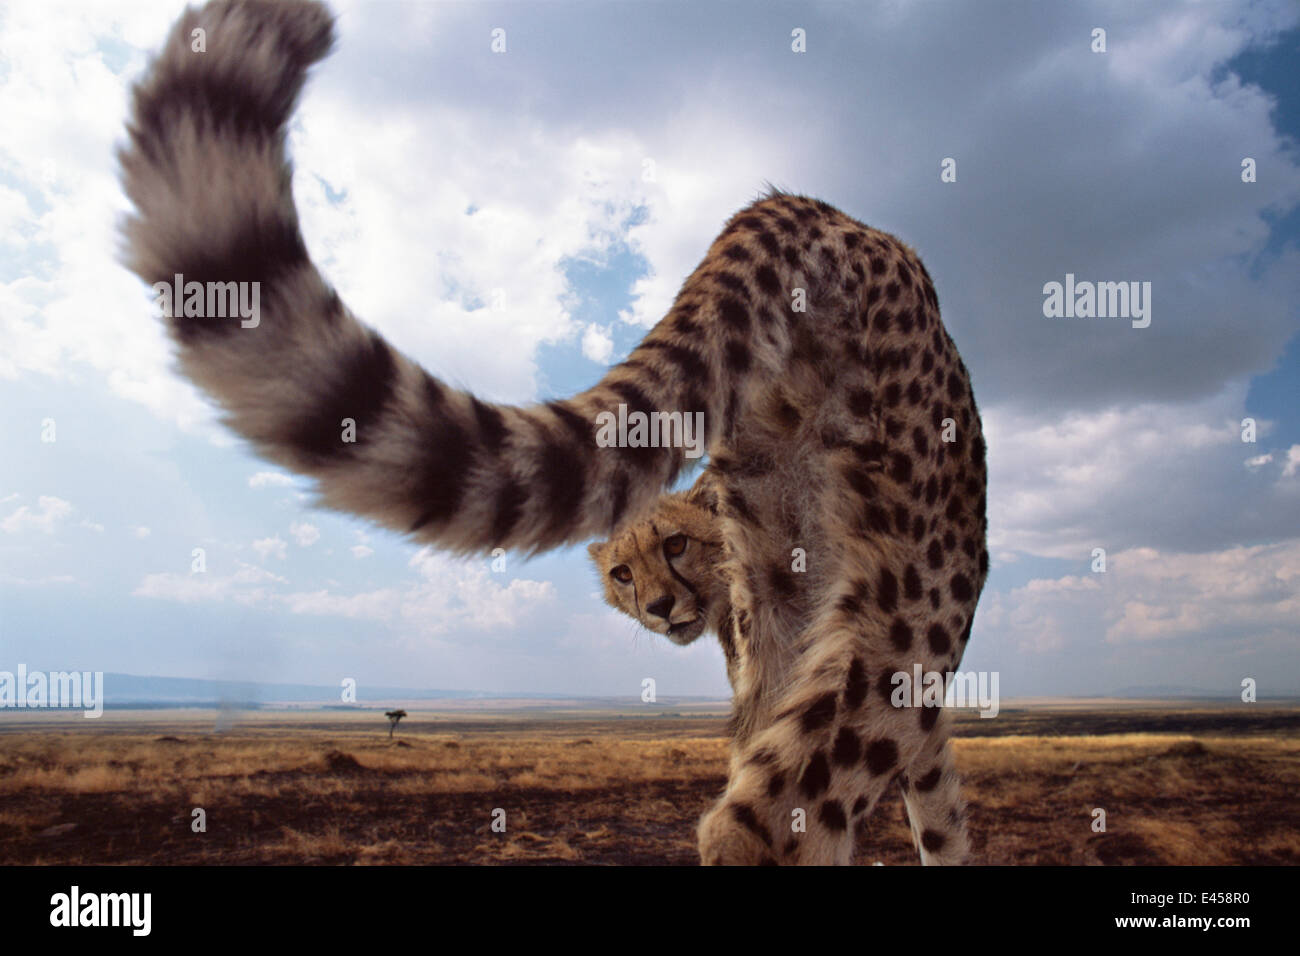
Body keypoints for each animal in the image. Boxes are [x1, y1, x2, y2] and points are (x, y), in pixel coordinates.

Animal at [120, 0, 988, 865]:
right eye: (622, 575)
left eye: (675, 546)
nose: (661, 610)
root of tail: (793, 203)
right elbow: (934, 813)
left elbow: (932, 807)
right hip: (920, 597)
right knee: (769, 814)